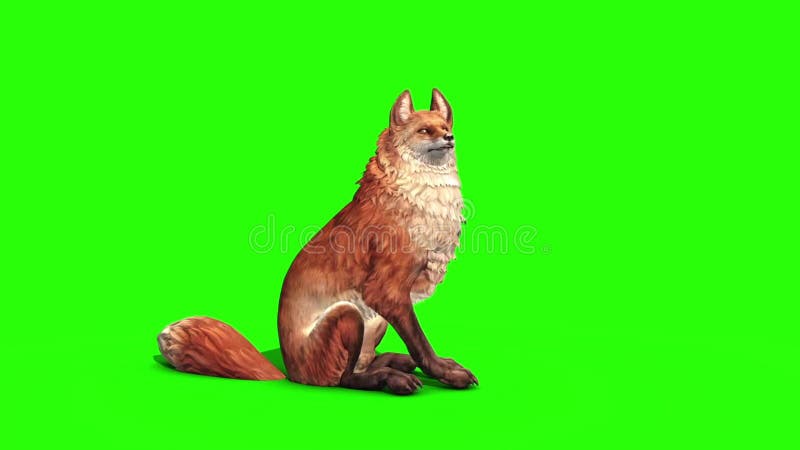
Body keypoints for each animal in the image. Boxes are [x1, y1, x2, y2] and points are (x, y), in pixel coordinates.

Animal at [157, 89, 477, 394]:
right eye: (425, 130)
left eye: (445, 126)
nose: (450, 138)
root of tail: (291, 374)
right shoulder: (385, 291)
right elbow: (420, 343)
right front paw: (446, 373)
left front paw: (442, 366)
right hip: (349, 315)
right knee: (346, 379)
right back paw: (392, 379)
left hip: (375, 322)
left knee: (362, 365)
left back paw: (394, 362)